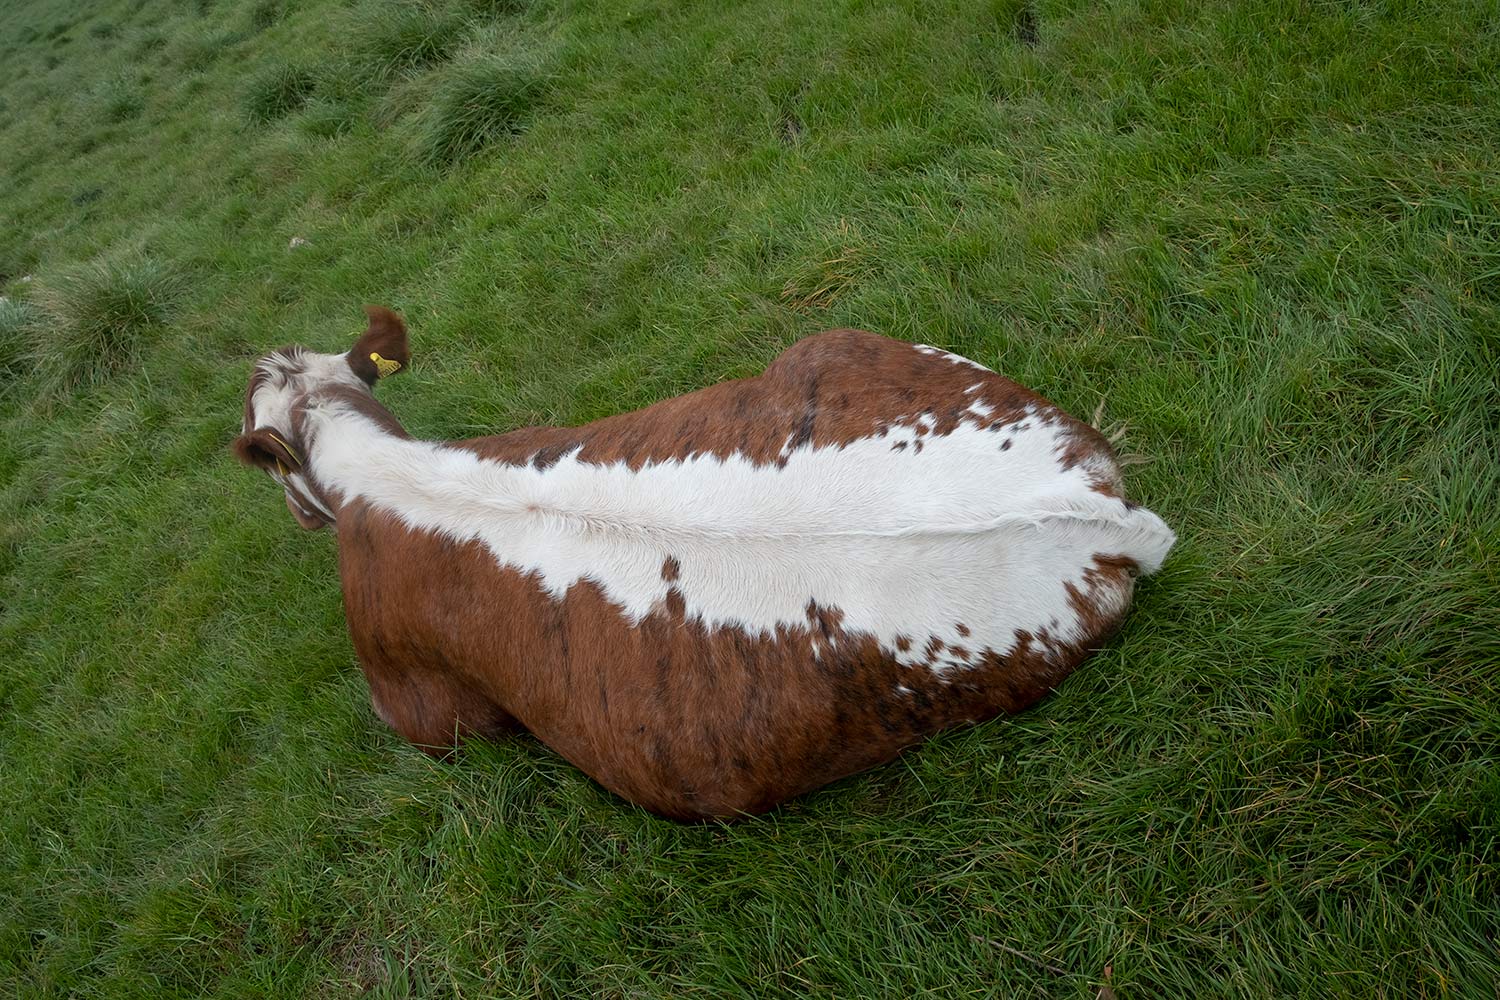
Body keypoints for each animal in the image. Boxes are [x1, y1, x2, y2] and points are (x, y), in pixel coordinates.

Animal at [233, 307, 1175, 820]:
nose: (299, 515)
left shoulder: (419, 701)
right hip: (839, 344)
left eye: (265, 465)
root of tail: (1103, 512)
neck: (375, 470)